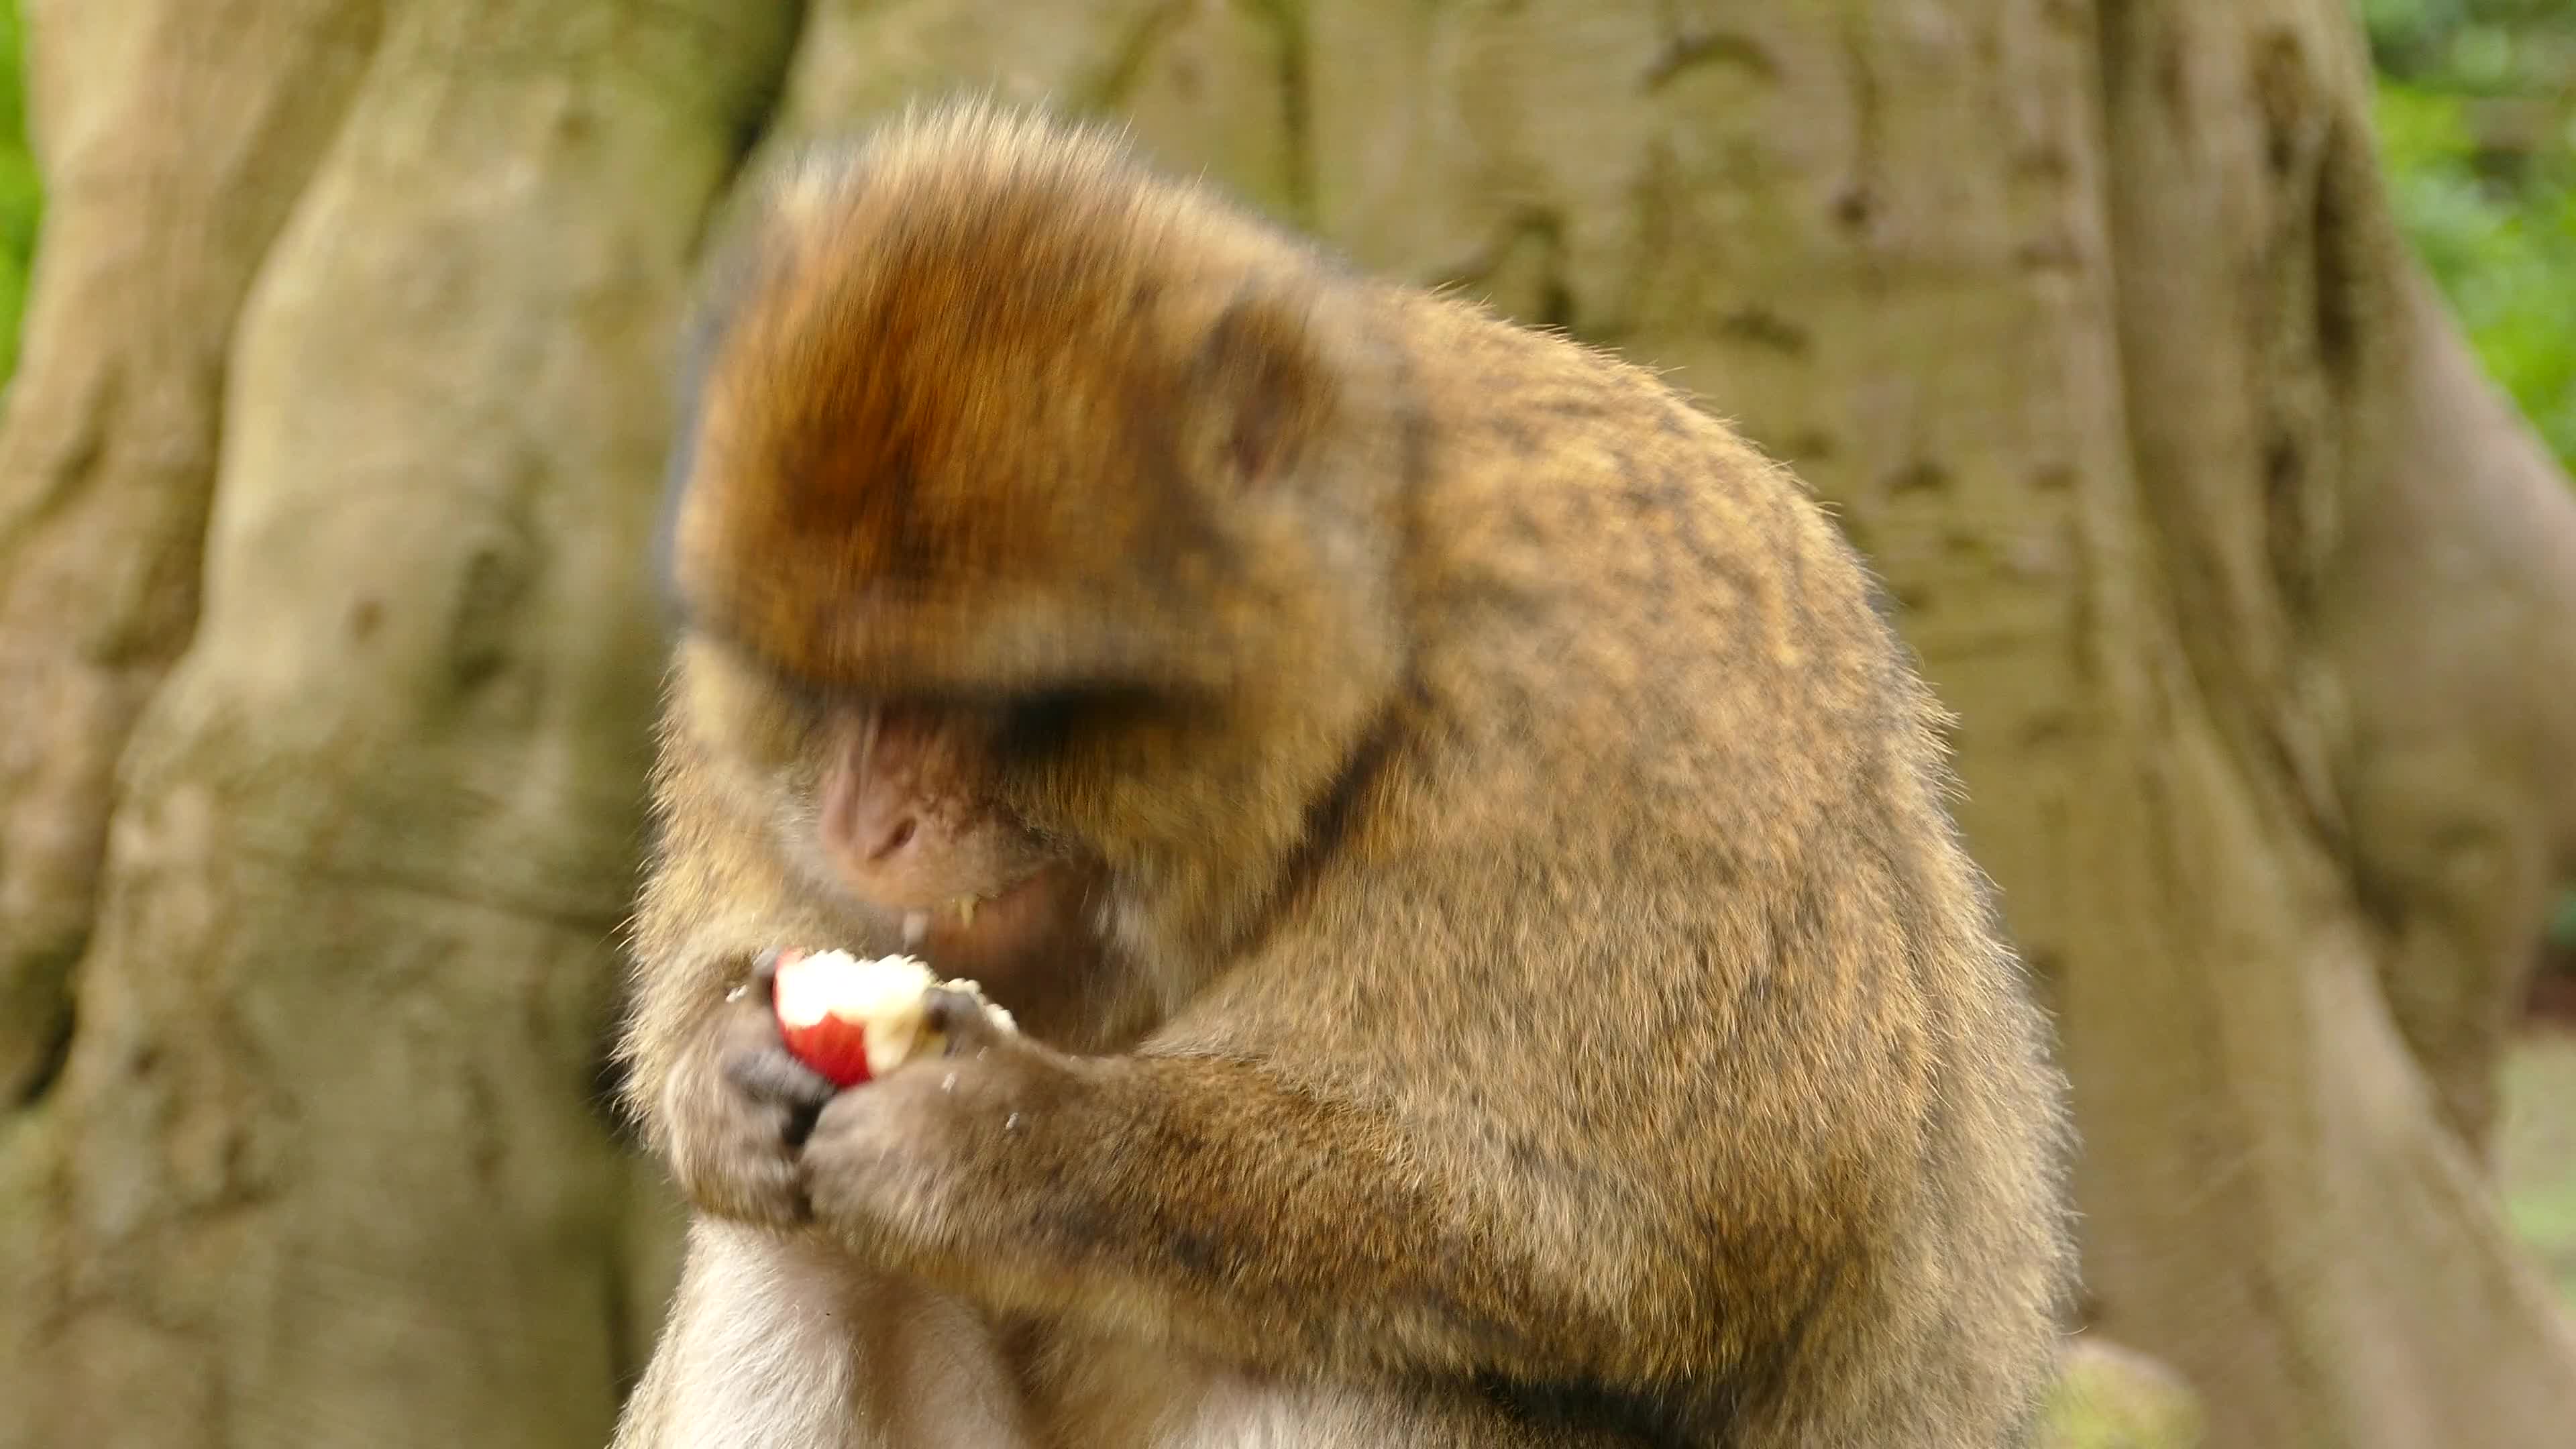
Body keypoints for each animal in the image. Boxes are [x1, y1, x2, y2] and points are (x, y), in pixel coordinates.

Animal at [611, 99, 2074, 1449]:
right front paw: (724, 1074)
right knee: (791, 1250)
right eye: (819, 691)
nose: (864, 824)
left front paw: (1008, 1143)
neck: (1379, 632)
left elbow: (1665, 1223)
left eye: (991, 705)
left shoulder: (1612, 711)